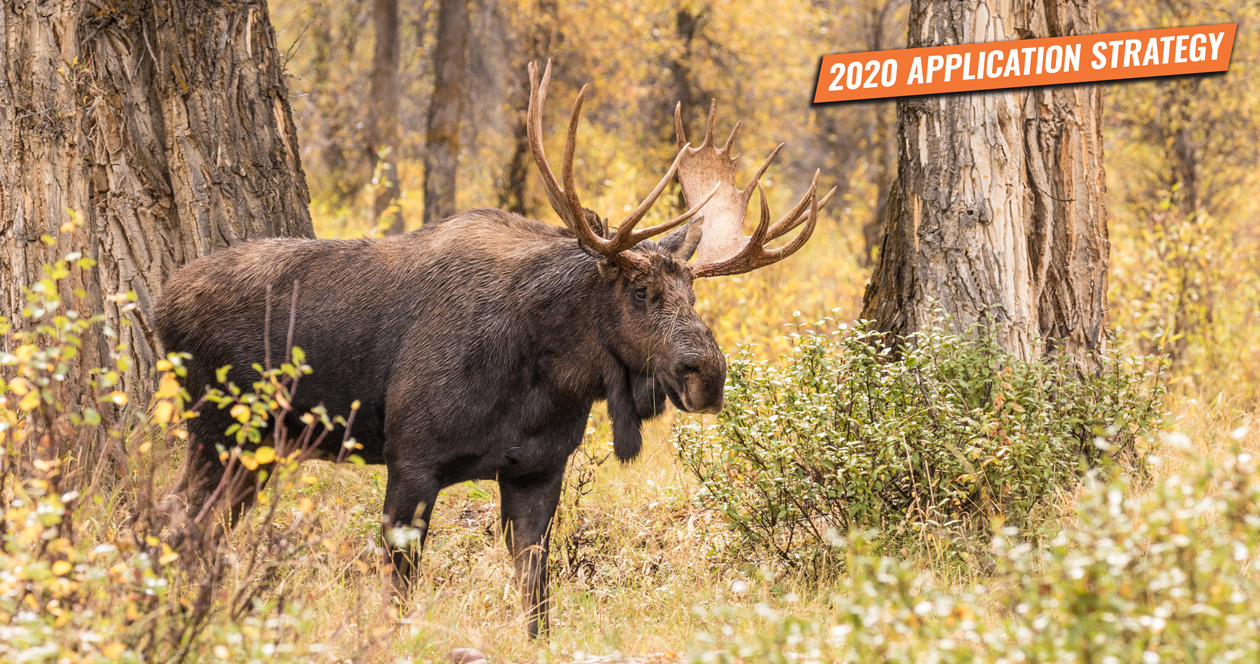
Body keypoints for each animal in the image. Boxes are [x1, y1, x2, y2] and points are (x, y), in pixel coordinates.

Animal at [154, 61, 835, 638]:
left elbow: (536, 597)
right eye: (641, 290)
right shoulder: (411, 459)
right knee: (178, 516)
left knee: (192, 523)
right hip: (218, 432)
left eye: (693, 292)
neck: (542, 383)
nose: (707, 373)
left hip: (250, 448)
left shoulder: (537, 469)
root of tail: (160, 304)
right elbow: (397, 592)